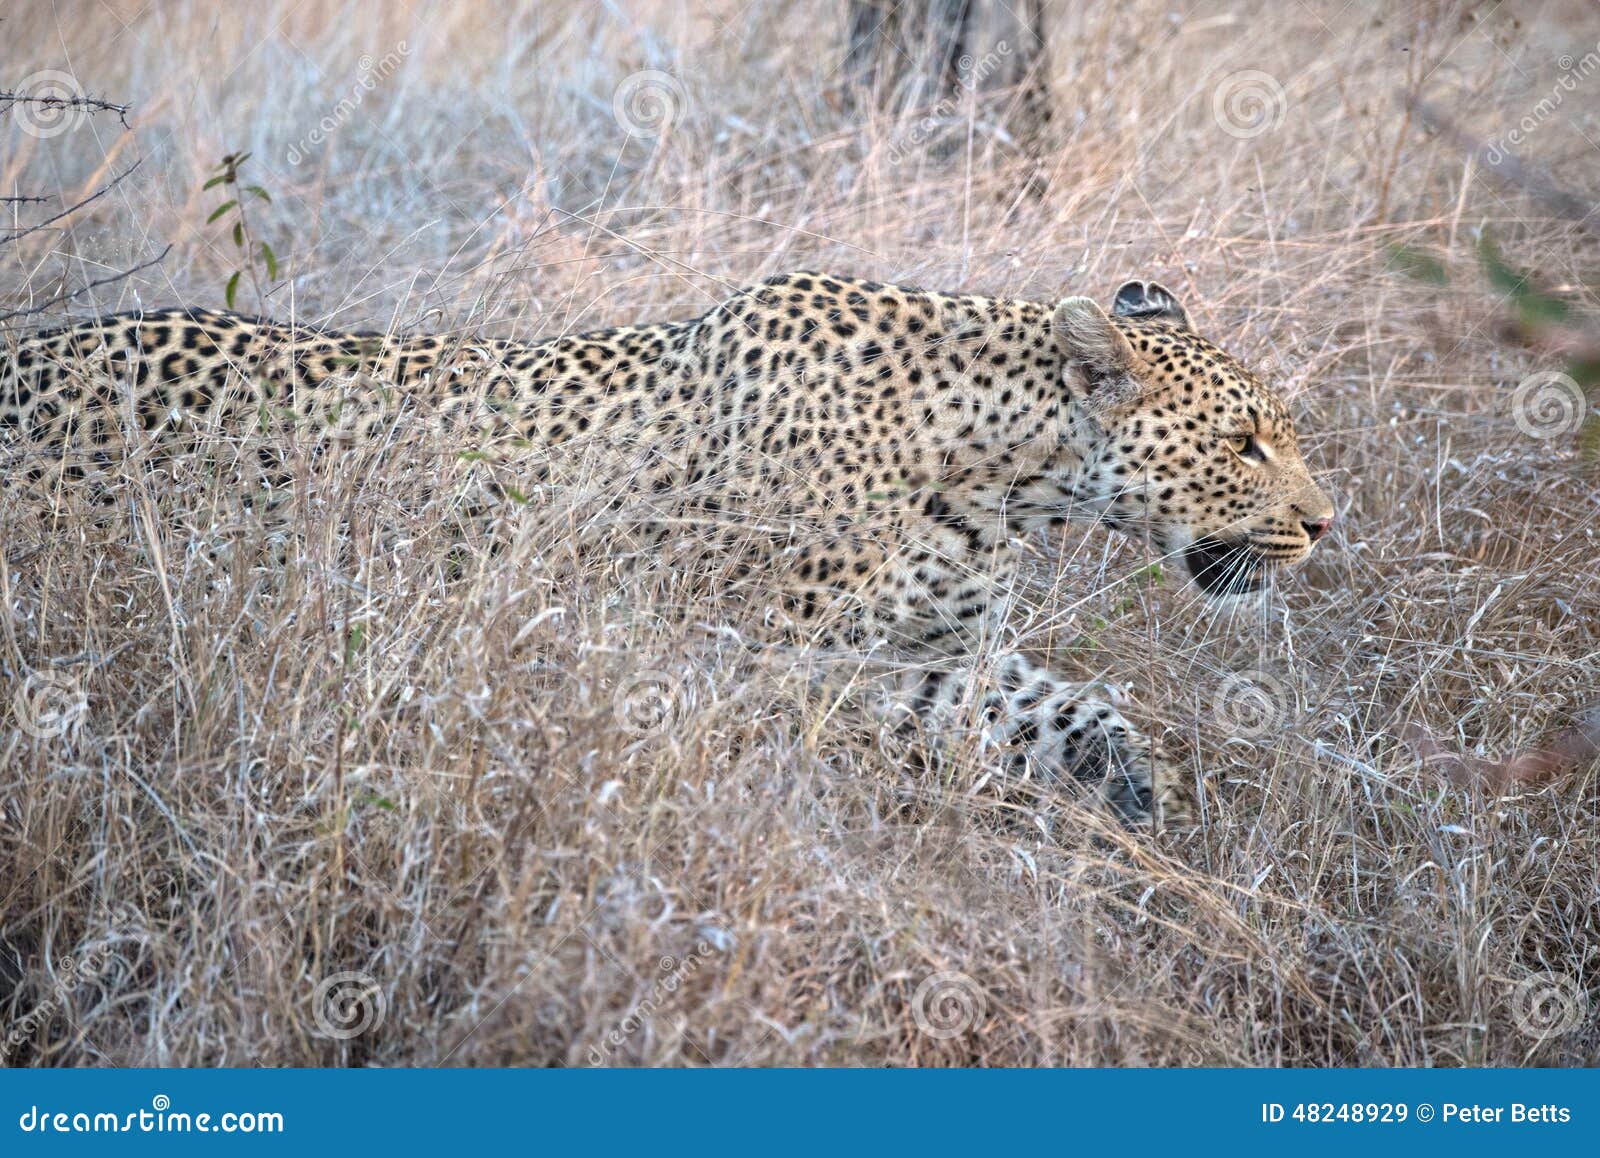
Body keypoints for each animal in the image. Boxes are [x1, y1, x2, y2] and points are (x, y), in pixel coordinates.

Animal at [0, 272, 1335, 828]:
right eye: (1245, 441)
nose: (1324, 525)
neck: (1008, 480)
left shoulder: (922, 659)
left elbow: (1069, 703)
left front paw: (1135, 793)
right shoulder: (752, 659)